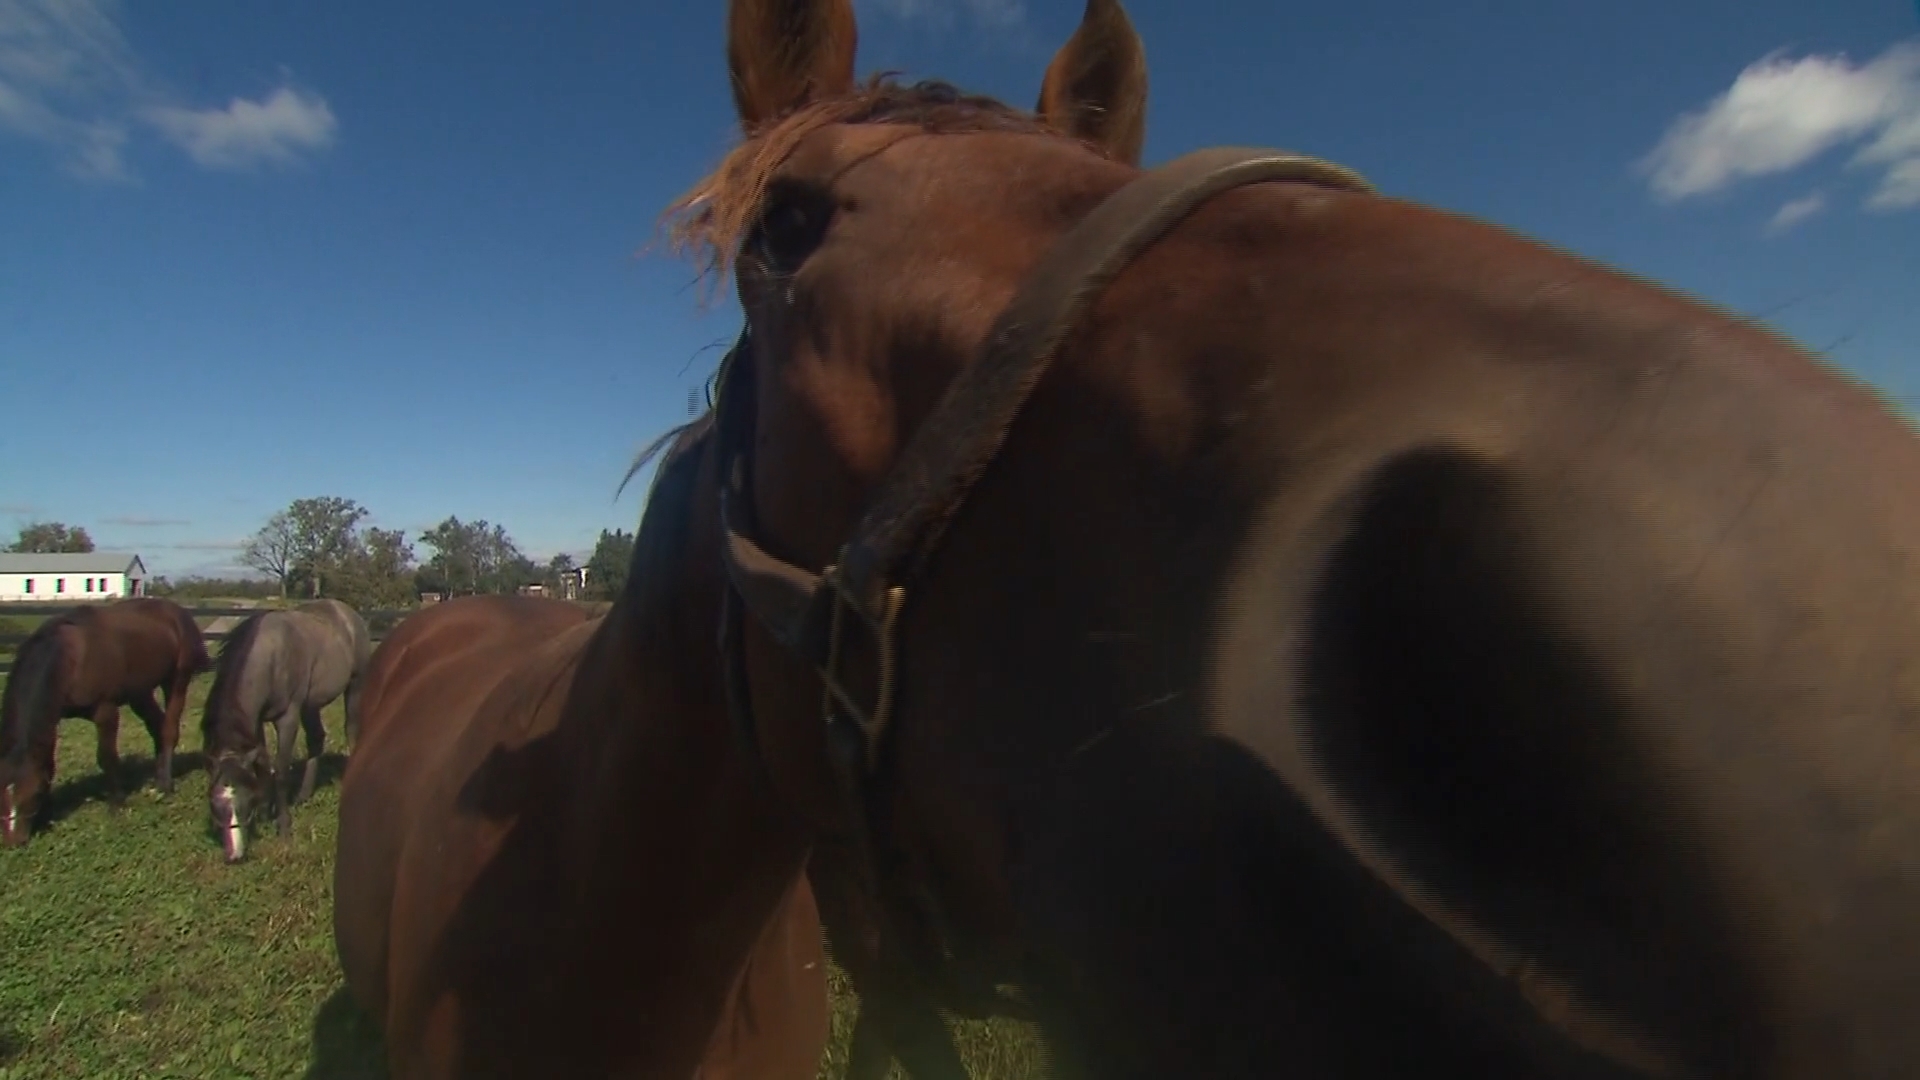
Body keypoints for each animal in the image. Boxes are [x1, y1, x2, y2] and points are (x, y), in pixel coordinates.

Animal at [0, 597, 210, 846]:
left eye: (33, 793)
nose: (13, 841)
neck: (71, 658)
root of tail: (178, 612)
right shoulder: (53, 717)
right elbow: (47, 763)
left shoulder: (105, 711)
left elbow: (107, 757)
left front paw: (116, 804)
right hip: (140, 693)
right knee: (157, 727)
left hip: (176, 680)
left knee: (168, 730)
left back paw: (165, 785)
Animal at [201, 598, 371, 862]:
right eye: (214, 804)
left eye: (244, 802)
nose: (234, 854)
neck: (269, 657)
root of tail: (348, 612)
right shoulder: (257, 723)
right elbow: (262, 767)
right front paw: (265, 812)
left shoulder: (287, 717)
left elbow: (280, 771)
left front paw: (283, 827)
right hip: (311, 703)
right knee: (316, 739)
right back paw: (303, 795)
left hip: (355, 685)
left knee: (351, 732)